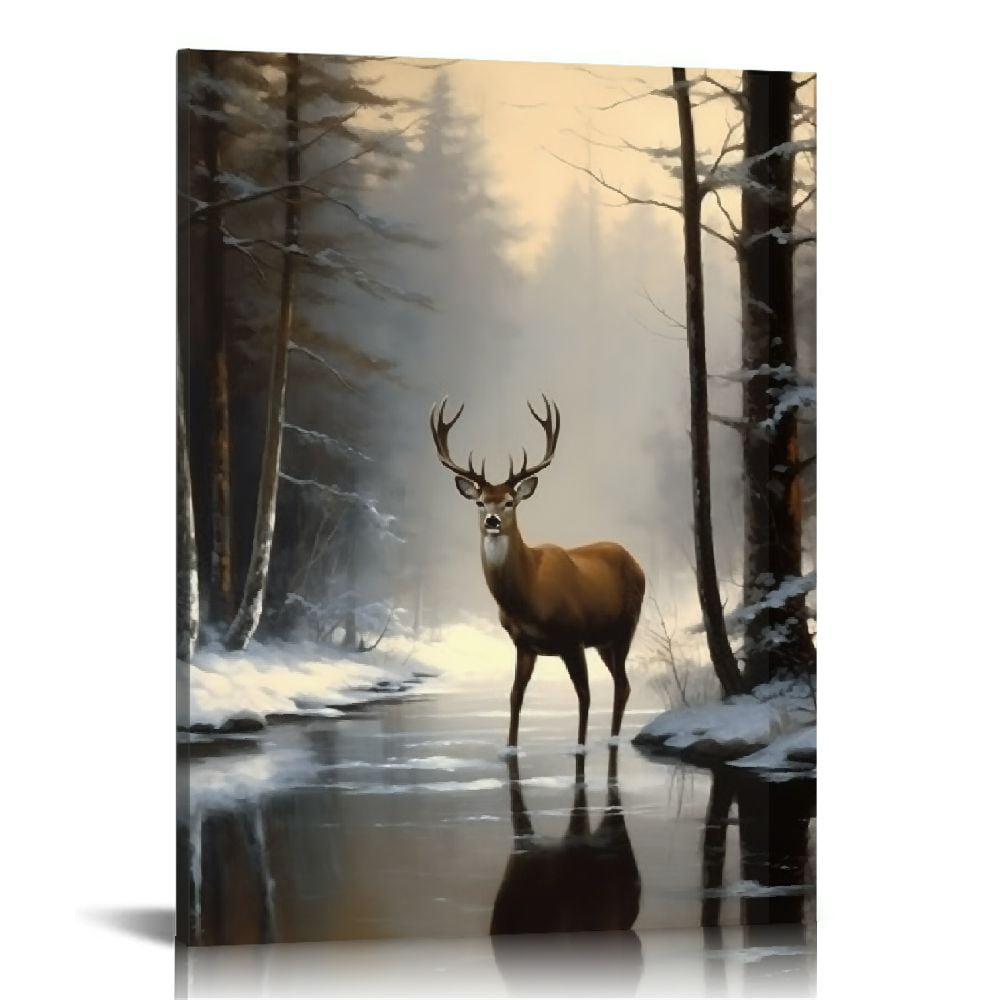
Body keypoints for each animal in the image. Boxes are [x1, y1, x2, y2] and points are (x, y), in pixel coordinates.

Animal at [429, 395, 646, 748]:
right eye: (479, 502)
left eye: (509, 501)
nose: (492, 521)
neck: (529, 597)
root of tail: (636, 562)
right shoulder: (524, 644)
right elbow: (515, 697)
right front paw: (510, 746)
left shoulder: (573, 637)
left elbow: (584, 696)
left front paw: (580, 747)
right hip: (604, 640)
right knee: (622, 683)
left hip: (626, 624)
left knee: (620, 684)